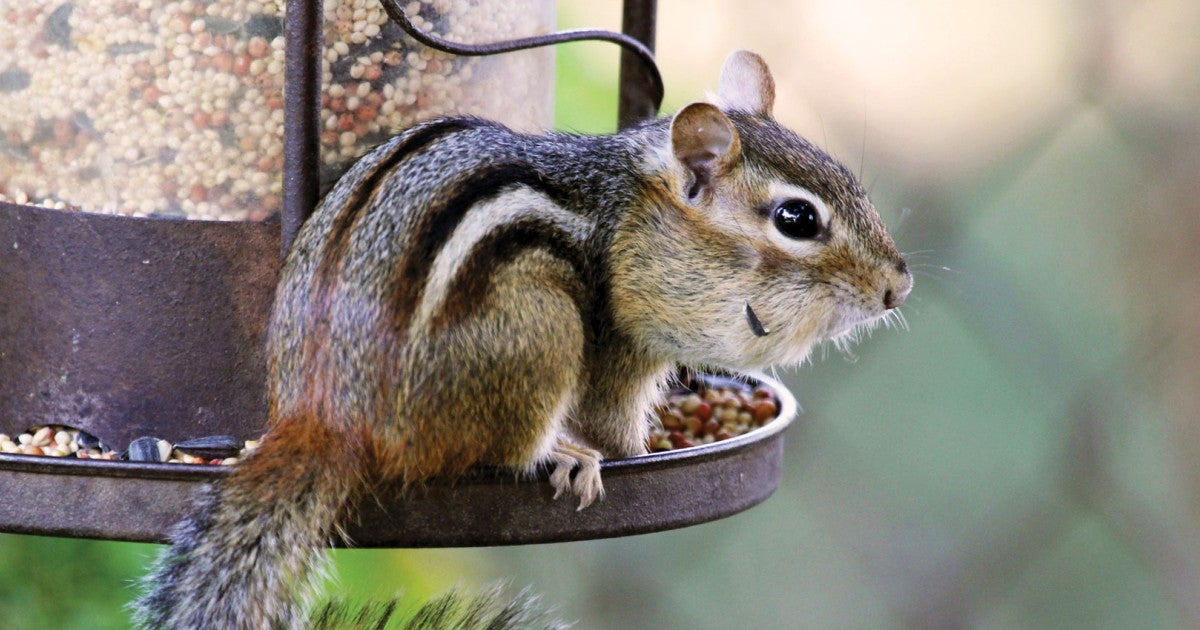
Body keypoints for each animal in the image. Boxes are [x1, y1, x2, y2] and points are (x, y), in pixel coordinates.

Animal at [132, 50, 912, 628]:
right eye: (797, 219)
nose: (897, 287)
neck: (637, 215)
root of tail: (327, 416)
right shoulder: (618, 338)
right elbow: (613, 417)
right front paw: (632, 451)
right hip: (541, 329)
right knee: (506, 449)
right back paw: (564, 456)